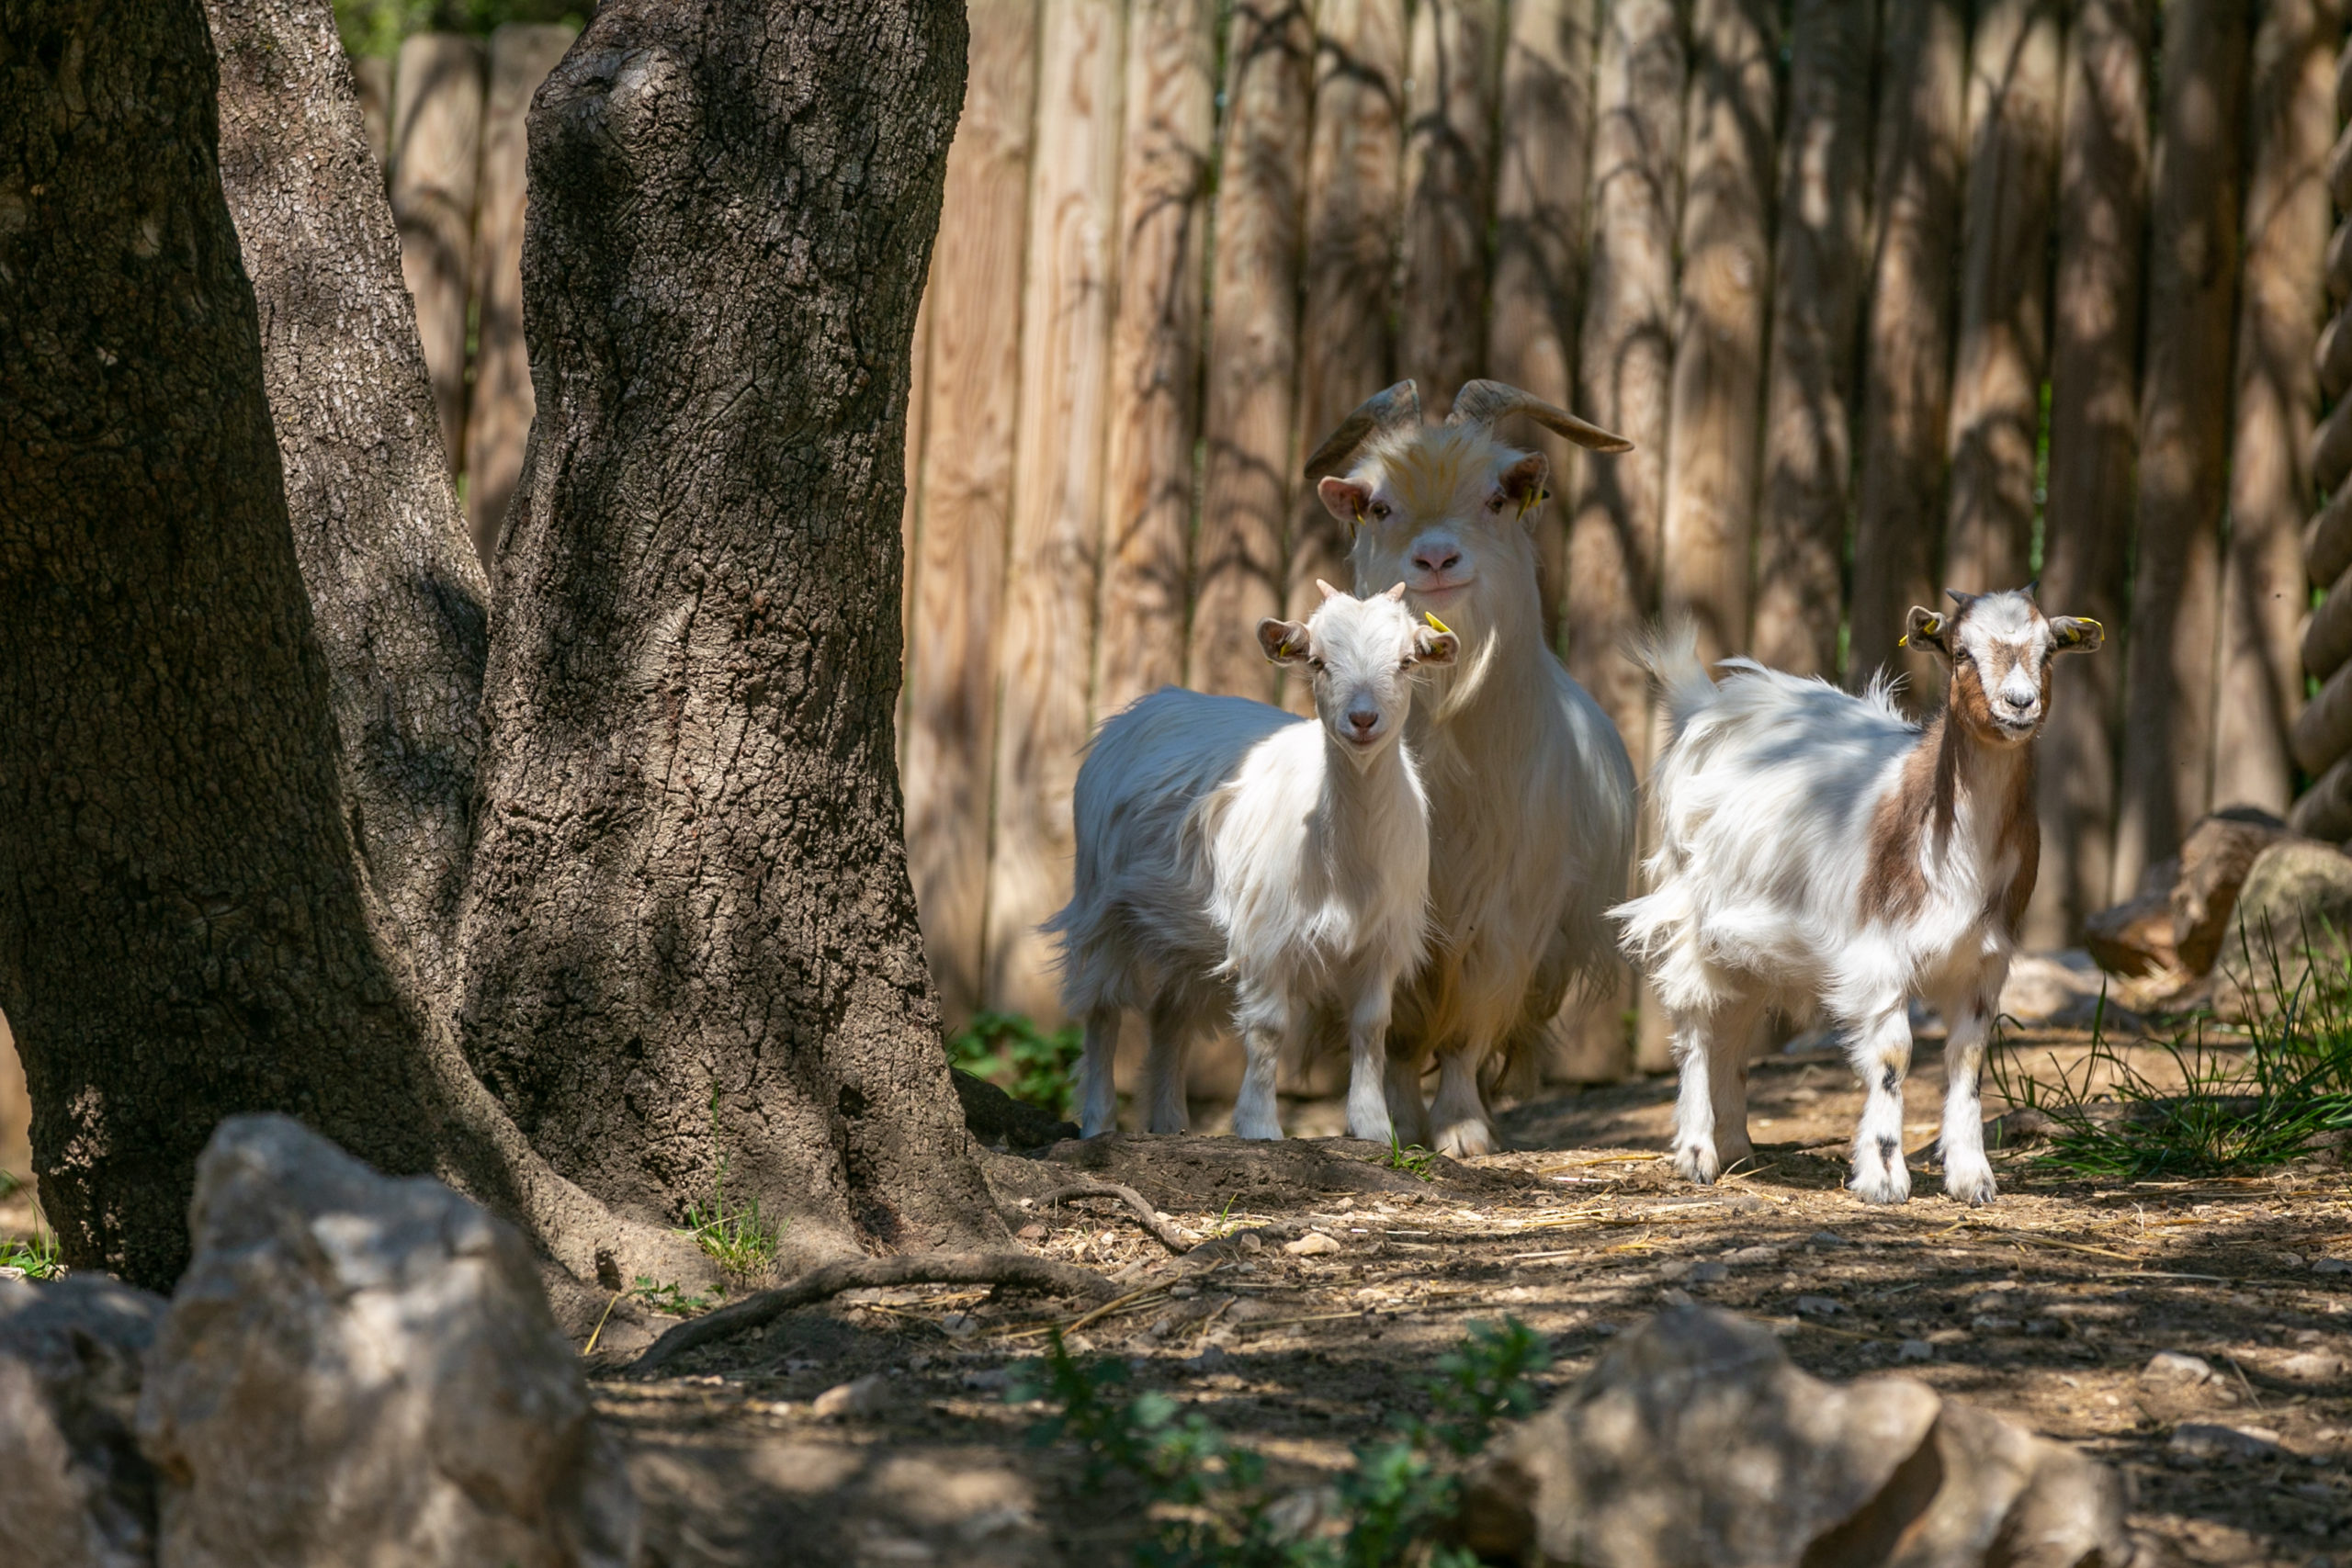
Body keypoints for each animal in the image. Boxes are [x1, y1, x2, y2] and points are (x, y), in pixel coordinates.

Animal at [1047, 583, 1459, 1142]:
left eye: (1406, 661)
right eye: (1318, 662)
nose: (1363, 720)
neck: (1346, 861)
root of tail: (1145, 706)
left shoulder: (1384, 938)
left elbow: (1372, 1026)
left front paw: (1374, 1128)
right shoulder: (1267, 932)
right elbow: (1268, 1028)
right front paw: (1260, 1127)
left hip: (1184, 931)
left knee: (1168, 1016)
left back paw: (1170, 1125)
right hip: (1101, 904)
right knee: (1103, 1009)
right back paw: (1099, 1125)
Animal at [1307, 381, 1637, 1156]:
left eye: (1496, 498)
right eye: (1379, 506)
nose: (1434, 560)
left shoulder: (1511, 912)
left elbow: (1472, 1023)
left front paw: (1462, 1129)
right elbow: (1395, 1029)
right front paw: (1402, 1122)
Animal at [1612, 587, 2104, 1204]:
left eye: (2049, 651)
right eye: (1960, 652)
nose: (2019, 704)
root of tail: (1706, 704)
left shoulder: (1985, 960)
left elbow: (1968, 1058)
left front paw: (1972, 1176)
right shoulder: (1878, 953)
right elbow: (1893, 1055)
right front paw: (1884, 1176)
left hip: (1750, 946)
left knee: (1735, 1031)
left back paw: (1737, 1148)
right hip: (1690, 915)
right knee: (1697, 1024)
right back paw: (1698, 1153)